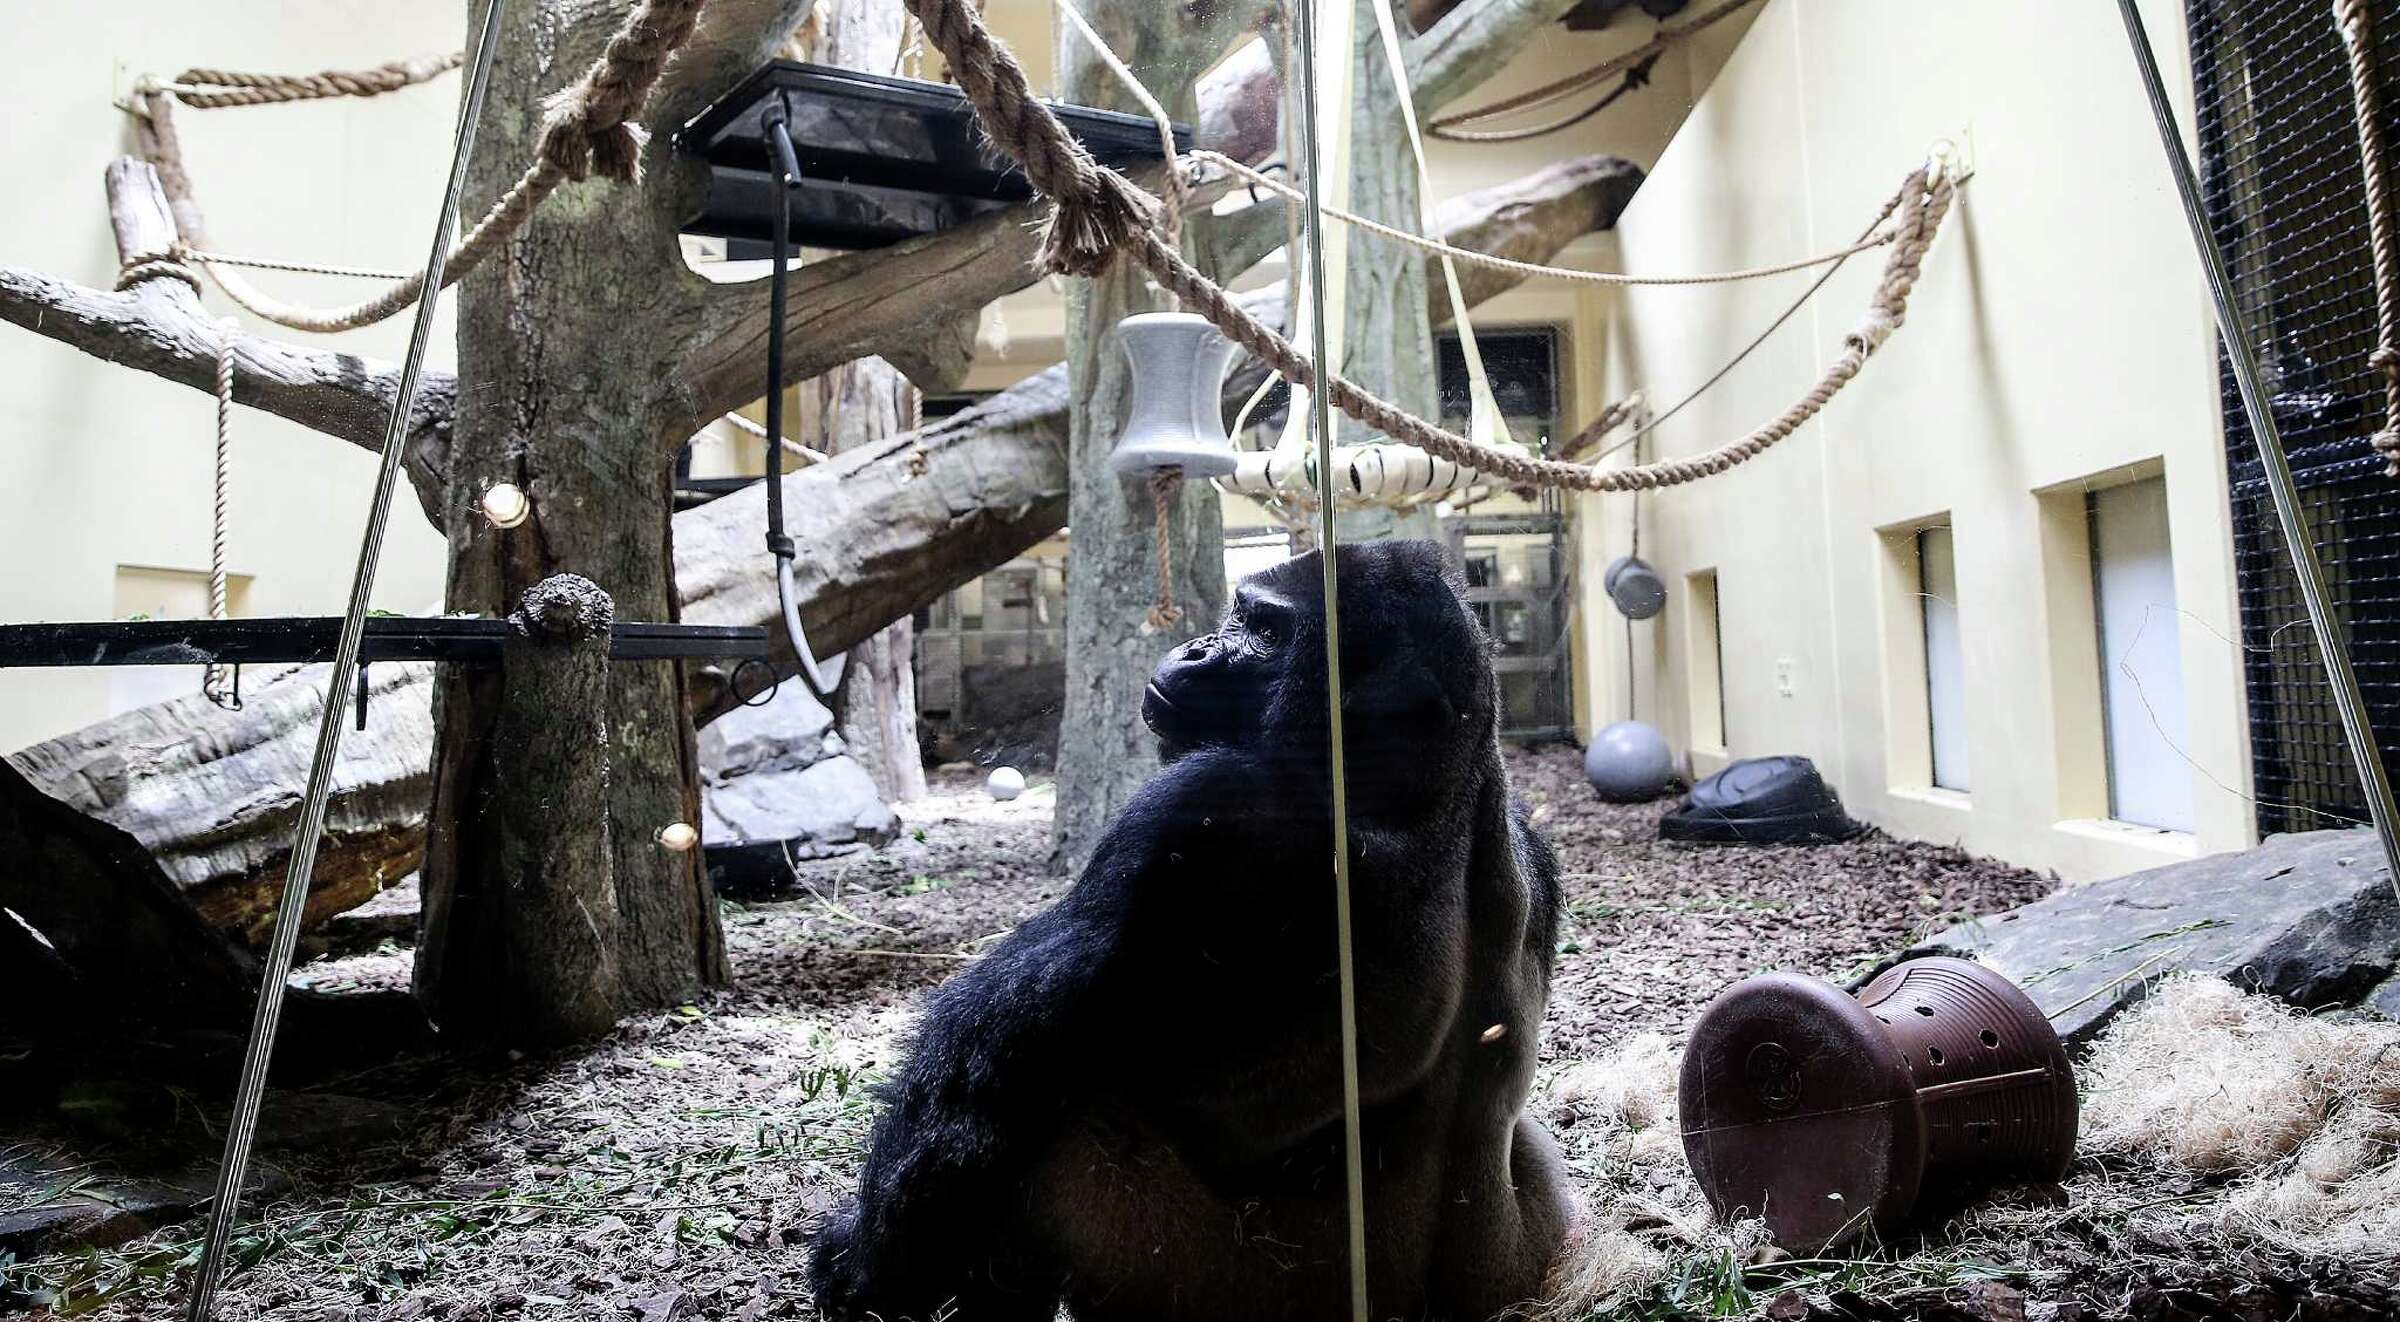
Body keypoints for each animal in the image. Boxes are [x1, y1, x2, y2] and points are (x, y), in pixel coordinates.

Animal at [808, 539, 1571, 1321]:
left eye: (1267, 631)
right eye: (1243, 618)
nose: (1199, 648)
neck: (1428, 775)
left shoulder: (1202, 811)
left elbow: (978, 1079)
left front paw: (860, 1267)